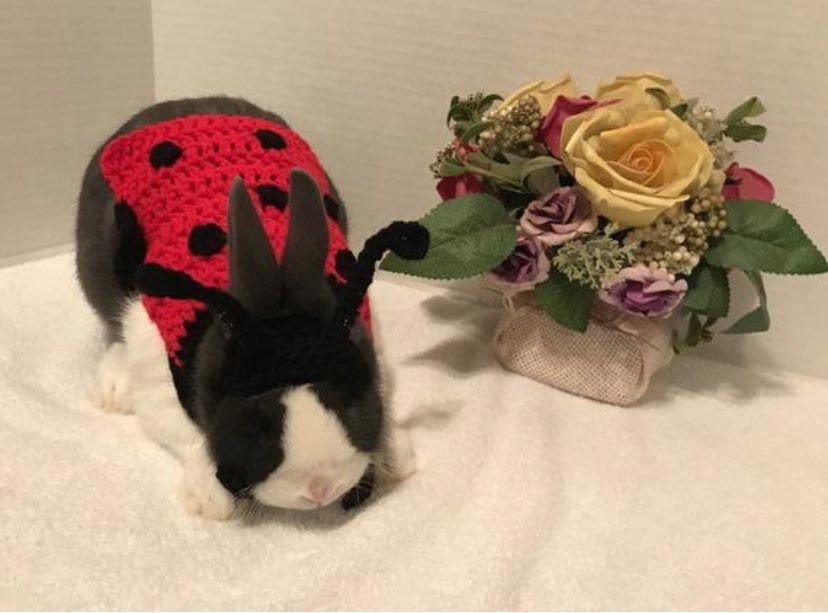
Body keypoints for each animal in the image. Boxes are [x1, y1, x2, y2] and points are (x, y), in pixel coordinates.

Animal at [75, 97, 428, 520]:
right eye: (261, 425)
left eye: (347, 405)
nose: (319, 489)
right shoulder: (158, 366)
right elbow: (183, 430)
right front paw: (210, 499)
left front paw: (397, 458)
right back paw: (114, 388)